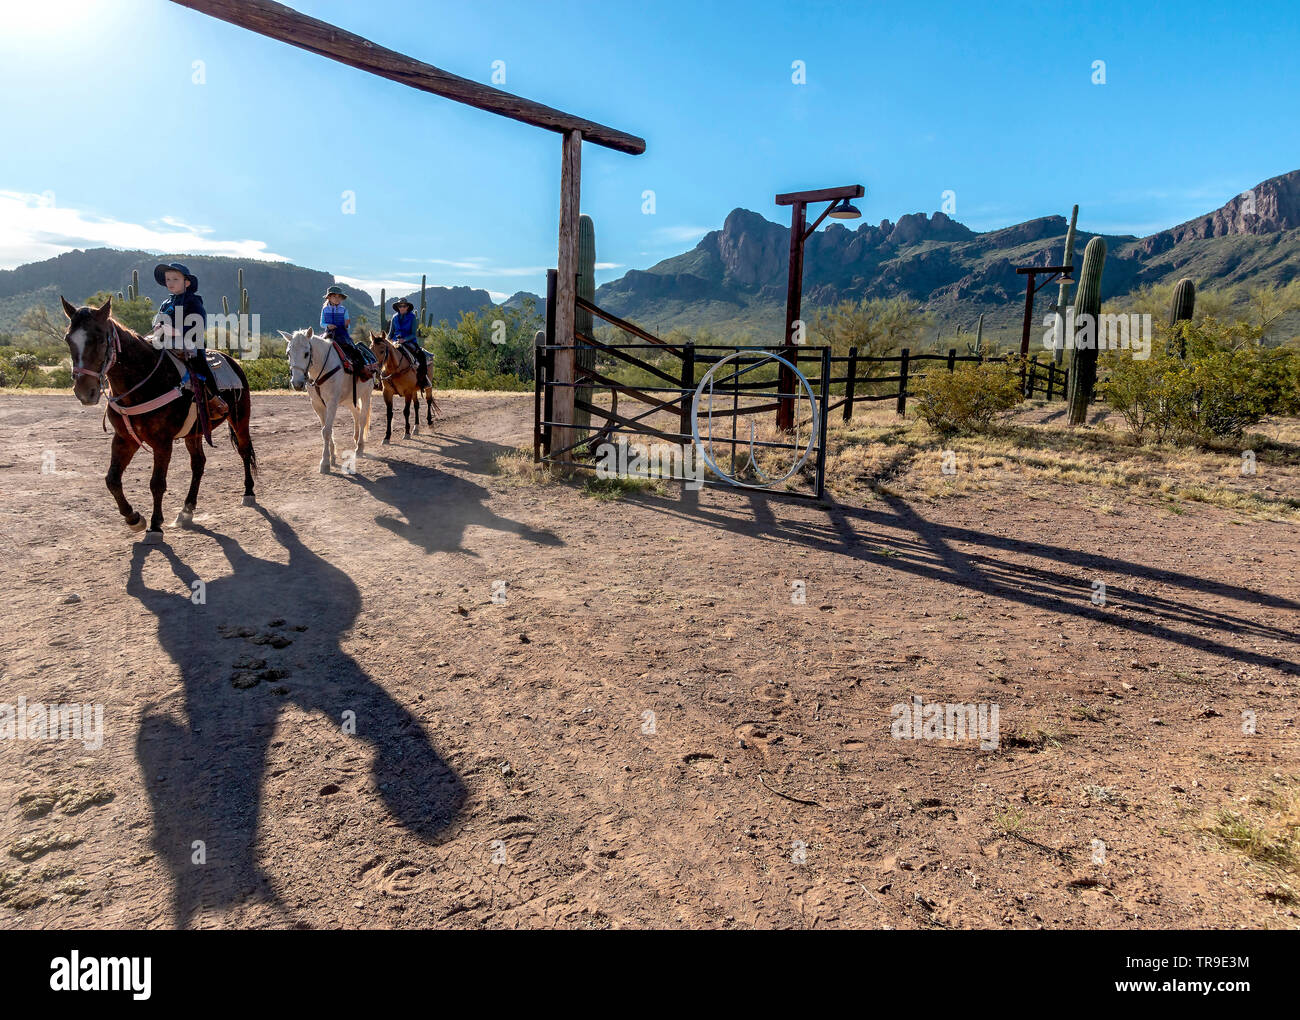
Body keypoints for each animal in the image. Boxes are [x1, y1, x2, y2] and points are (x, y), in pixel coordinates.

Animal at [61, 296, 256, 541]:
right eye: (68, 339)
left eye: (98, 338)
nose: (84, 391)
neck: (142, 381)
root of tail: (233, 362)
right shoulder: (125, 439)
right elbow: (112, 480)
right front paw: (134, 518)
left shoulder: (162, 442)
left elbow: (157, 483)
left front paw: (155, 525)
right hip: (194, 433)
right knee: (198, 463)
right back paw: (186, 510)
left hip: (240, 419)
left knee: (244, 450)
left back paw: (248, 492)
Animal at [280, 326, 373, 473]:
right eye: (288, 353)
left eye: (306, 353)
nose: (297, 383)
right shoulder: (317, 405)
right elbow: (325, 429)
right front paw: (332, 456)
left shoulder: (332, 403)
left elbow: (327, 431)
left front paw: (324, 462)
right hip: (349, 399)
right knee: (356, 414)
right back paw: (356, 438)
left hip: (366, 394)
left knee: (363, 418)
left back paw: (360, 447)